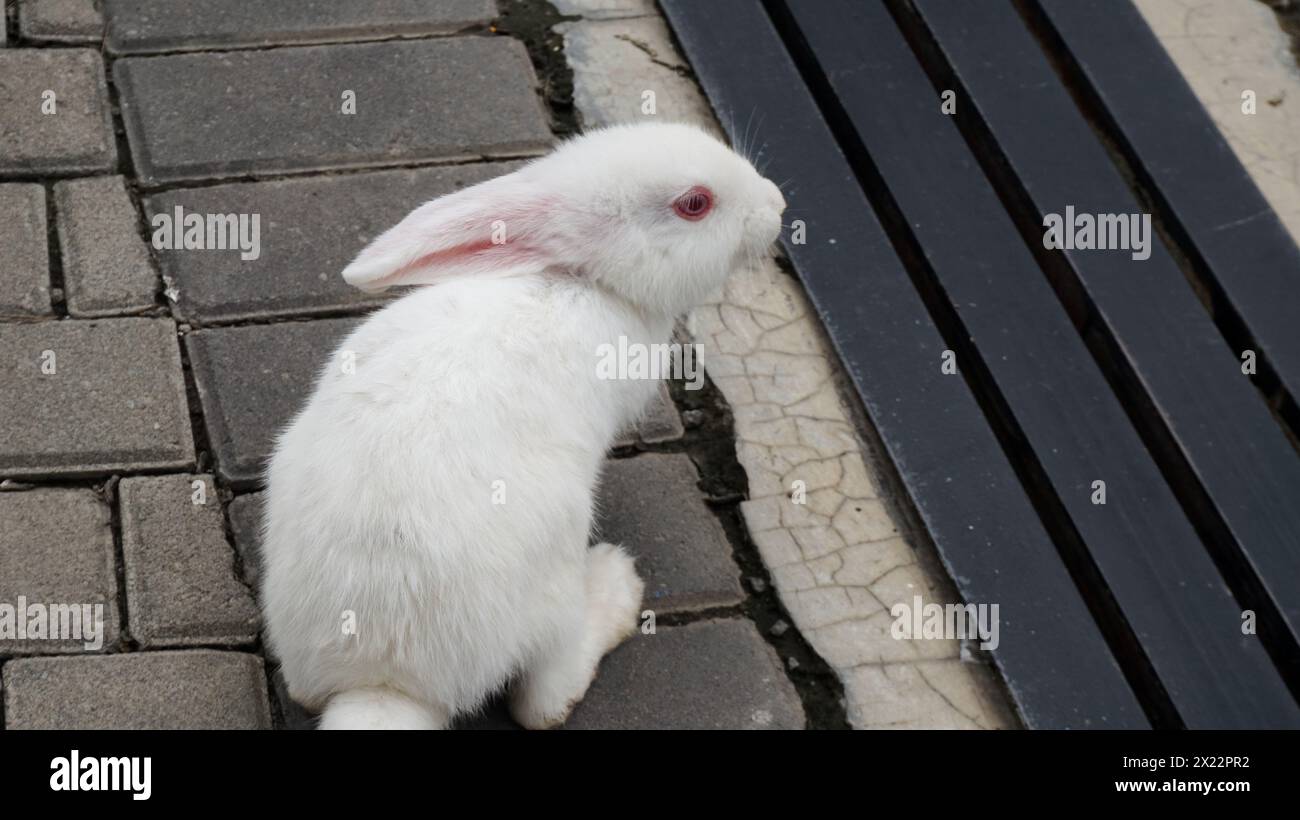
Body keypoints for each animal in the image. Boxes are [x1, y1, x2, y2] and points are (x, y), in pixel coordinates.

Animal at [260, 122, 787, 730]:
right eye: (694, 204)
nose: (777, 203)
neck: (577, 281)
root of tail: (384, 684)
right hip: (552, 592)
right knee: (543, 701)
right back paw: (615, 588)